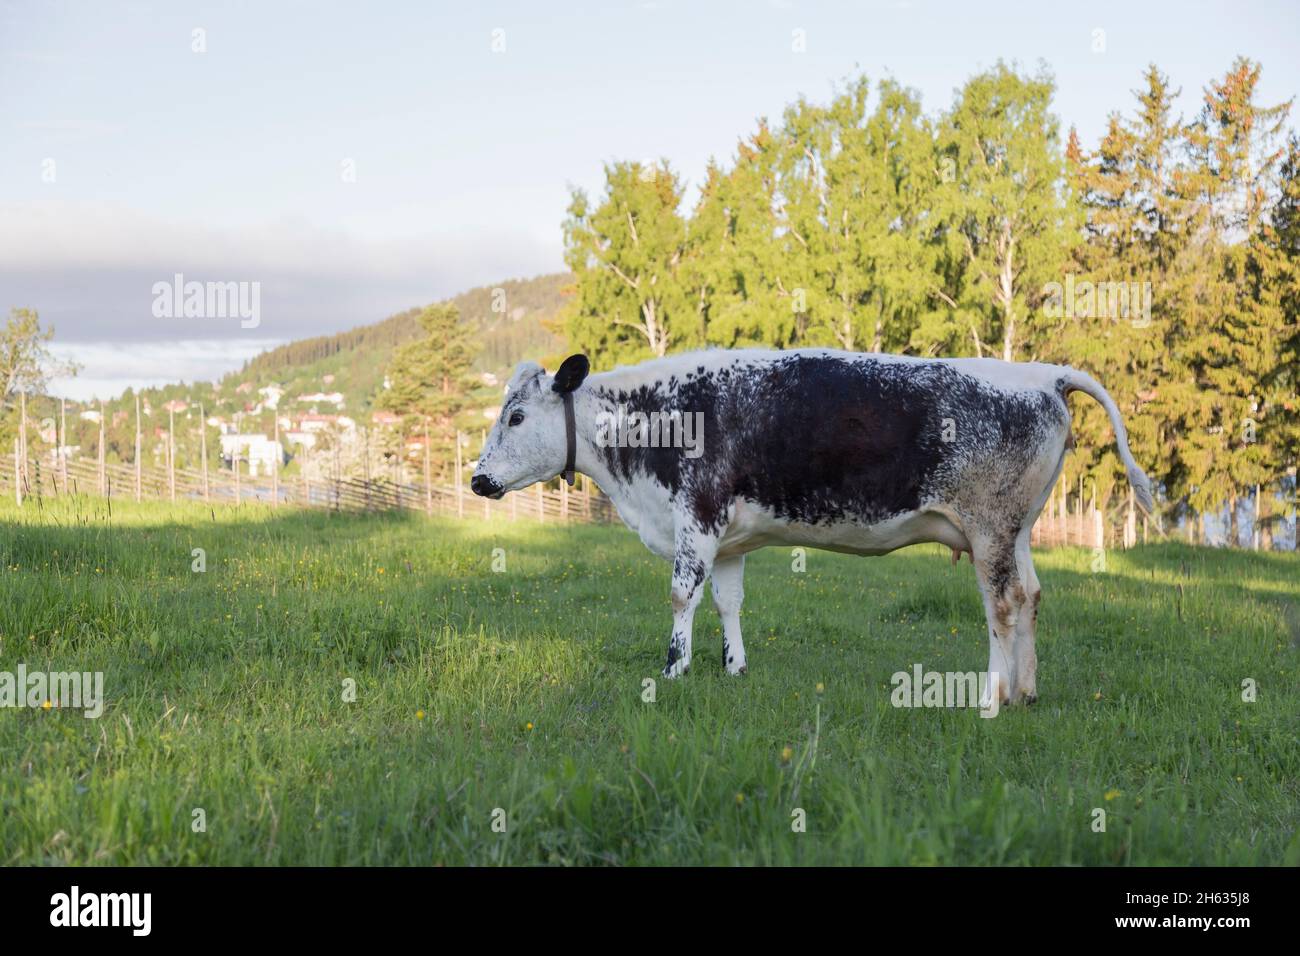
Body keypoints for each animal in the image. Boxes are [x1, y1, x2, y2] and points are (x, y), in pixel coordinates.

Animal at [471, 348, 1152, 705]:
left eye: (516, 416)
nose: (478, 481)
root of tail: (1042, 373)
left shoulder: (696, 517)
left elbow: (681, 595)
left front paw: (672, 671)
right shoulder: (729, 536)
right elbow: (728, 601)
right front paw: (734, 669)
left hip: (989, 528)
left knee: (1003, 604)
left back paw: (994, 697)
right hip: (1018, 530)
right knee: (1031, 595)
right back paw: (1028, 691)